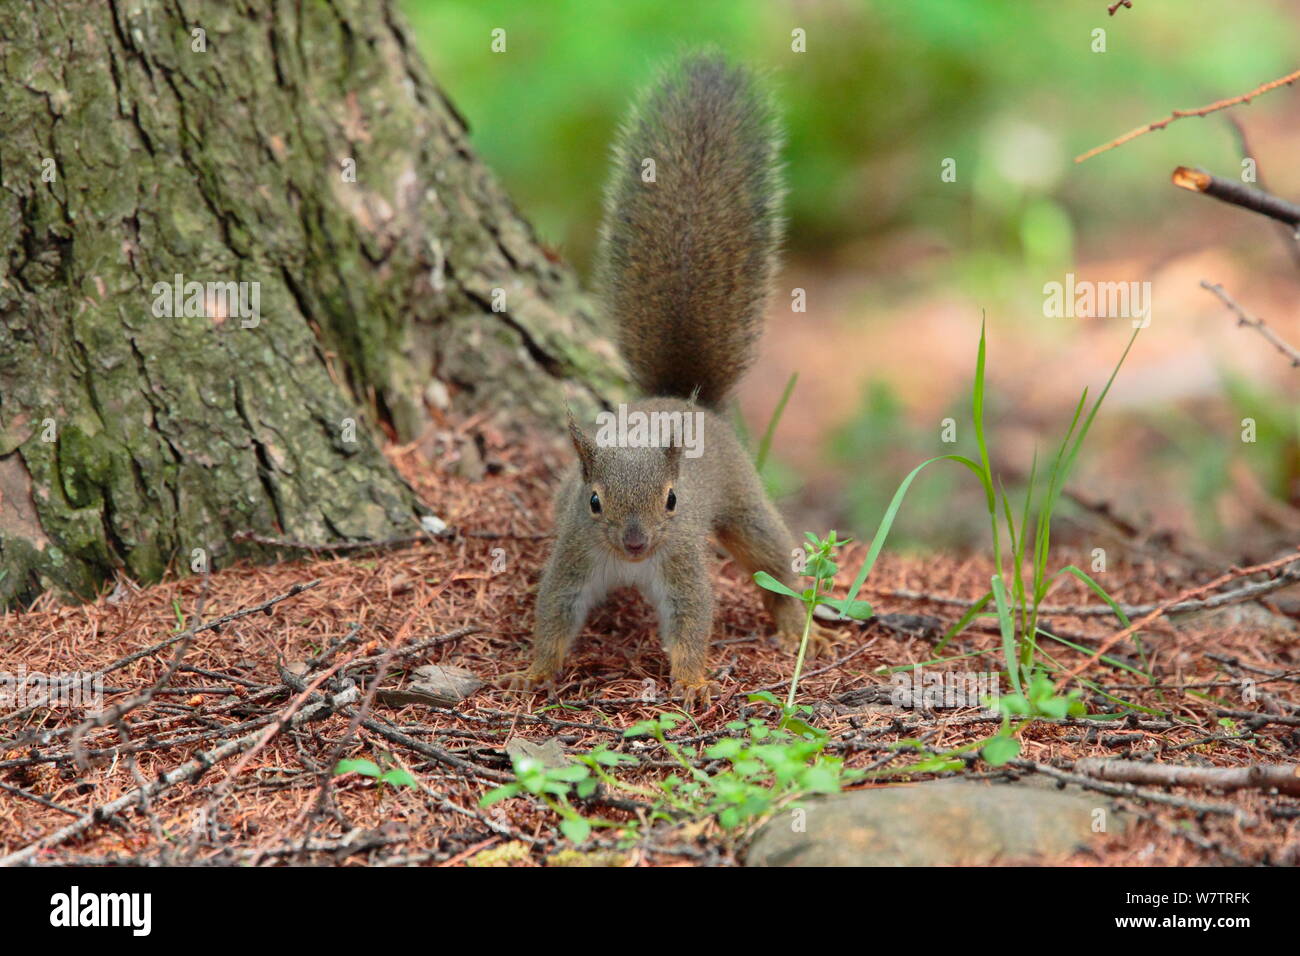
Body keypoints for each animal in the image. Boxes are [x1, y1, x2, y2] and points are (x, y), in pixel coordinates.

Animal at [507, 52, 830, 709]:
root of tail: (681, 398)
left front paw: (692, 681)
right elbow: (554, 611)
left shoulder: (679, 558)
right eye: (594, 500)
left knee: (773, 560)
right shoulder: (575, 553)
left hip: (744, 504)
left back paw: (792, 626)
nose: (635, 543)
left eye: (674, 500)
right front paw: (535, 671)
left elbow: (691, 613)